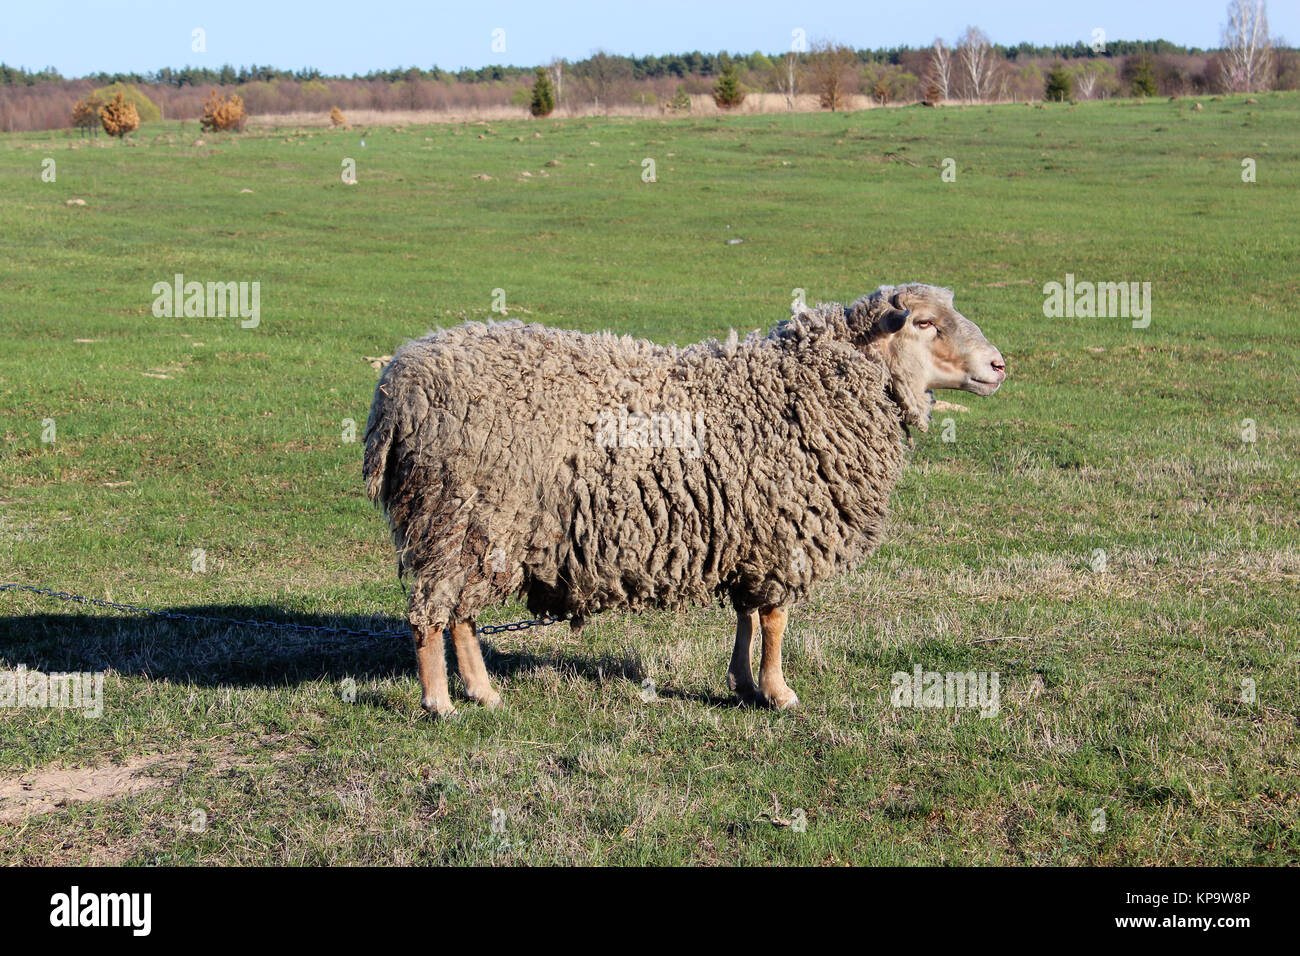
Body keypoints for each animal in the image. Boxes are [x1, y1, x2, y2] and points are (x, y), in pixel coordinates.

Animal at [364, 283, 1006, 716]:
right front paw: (779, 692)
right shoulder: (782, 535)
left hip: (475, 530)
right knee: (431, 612)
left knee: (460, 613)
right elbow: (776, 619)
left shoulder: (749, 534)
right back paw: (440, 702)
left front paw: (744, 682)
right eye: (924, 322)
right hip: (461, 516)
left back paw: (482, 692)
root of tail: (396, 389)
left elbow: (747, 615)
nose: (999, 364)